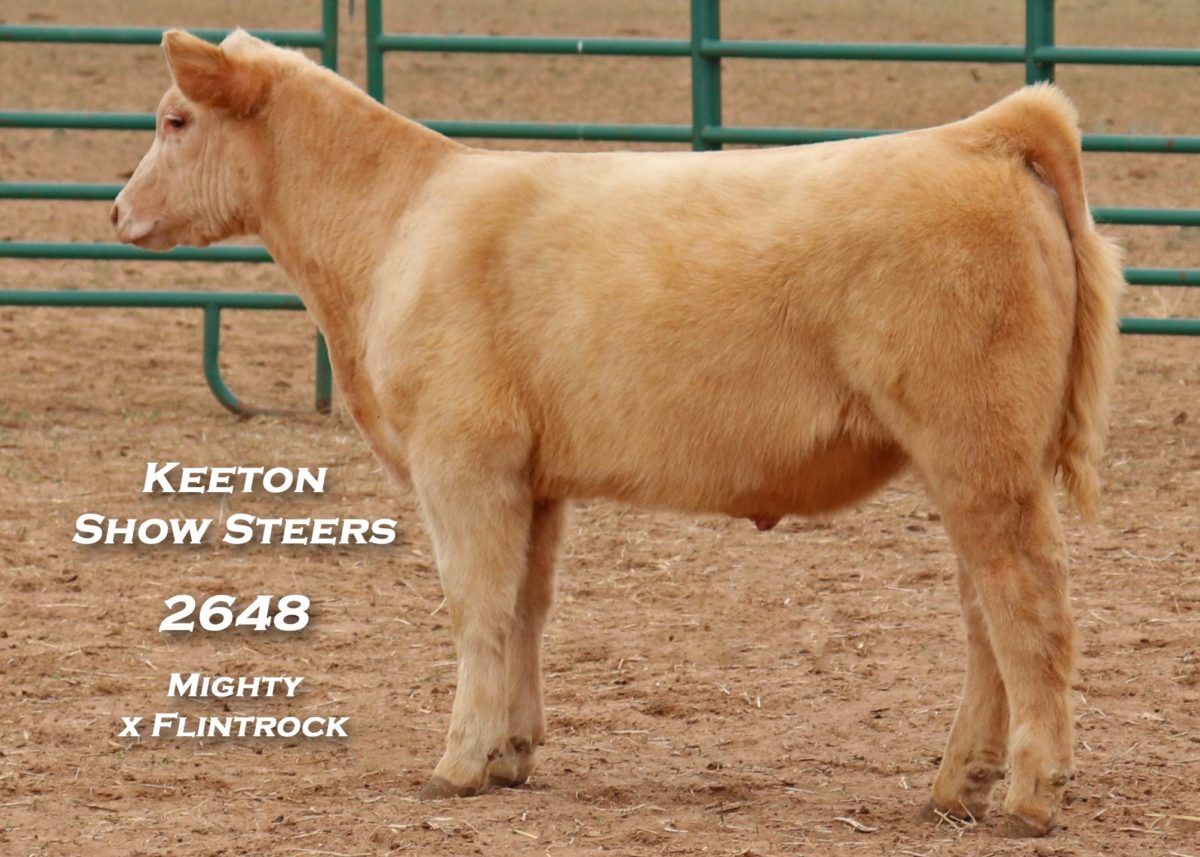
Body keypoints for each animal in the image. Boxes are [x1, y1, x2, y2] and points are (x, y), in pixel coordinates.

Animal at [111, 29, 1124, 837]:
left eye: (174, 120)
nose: (116, 210)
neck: (401, 222)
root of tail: (981, 132)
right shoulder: (534, 480)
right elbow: (526, 605)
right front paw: (512, 751)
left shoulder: (462, 462)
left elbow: (476, 606)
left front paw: (456, 762)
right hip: (973, 467)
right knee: (984, 617)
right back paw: (958, 783)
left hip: (982, 461)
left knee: (1030, 611)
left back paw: (1028, 795)